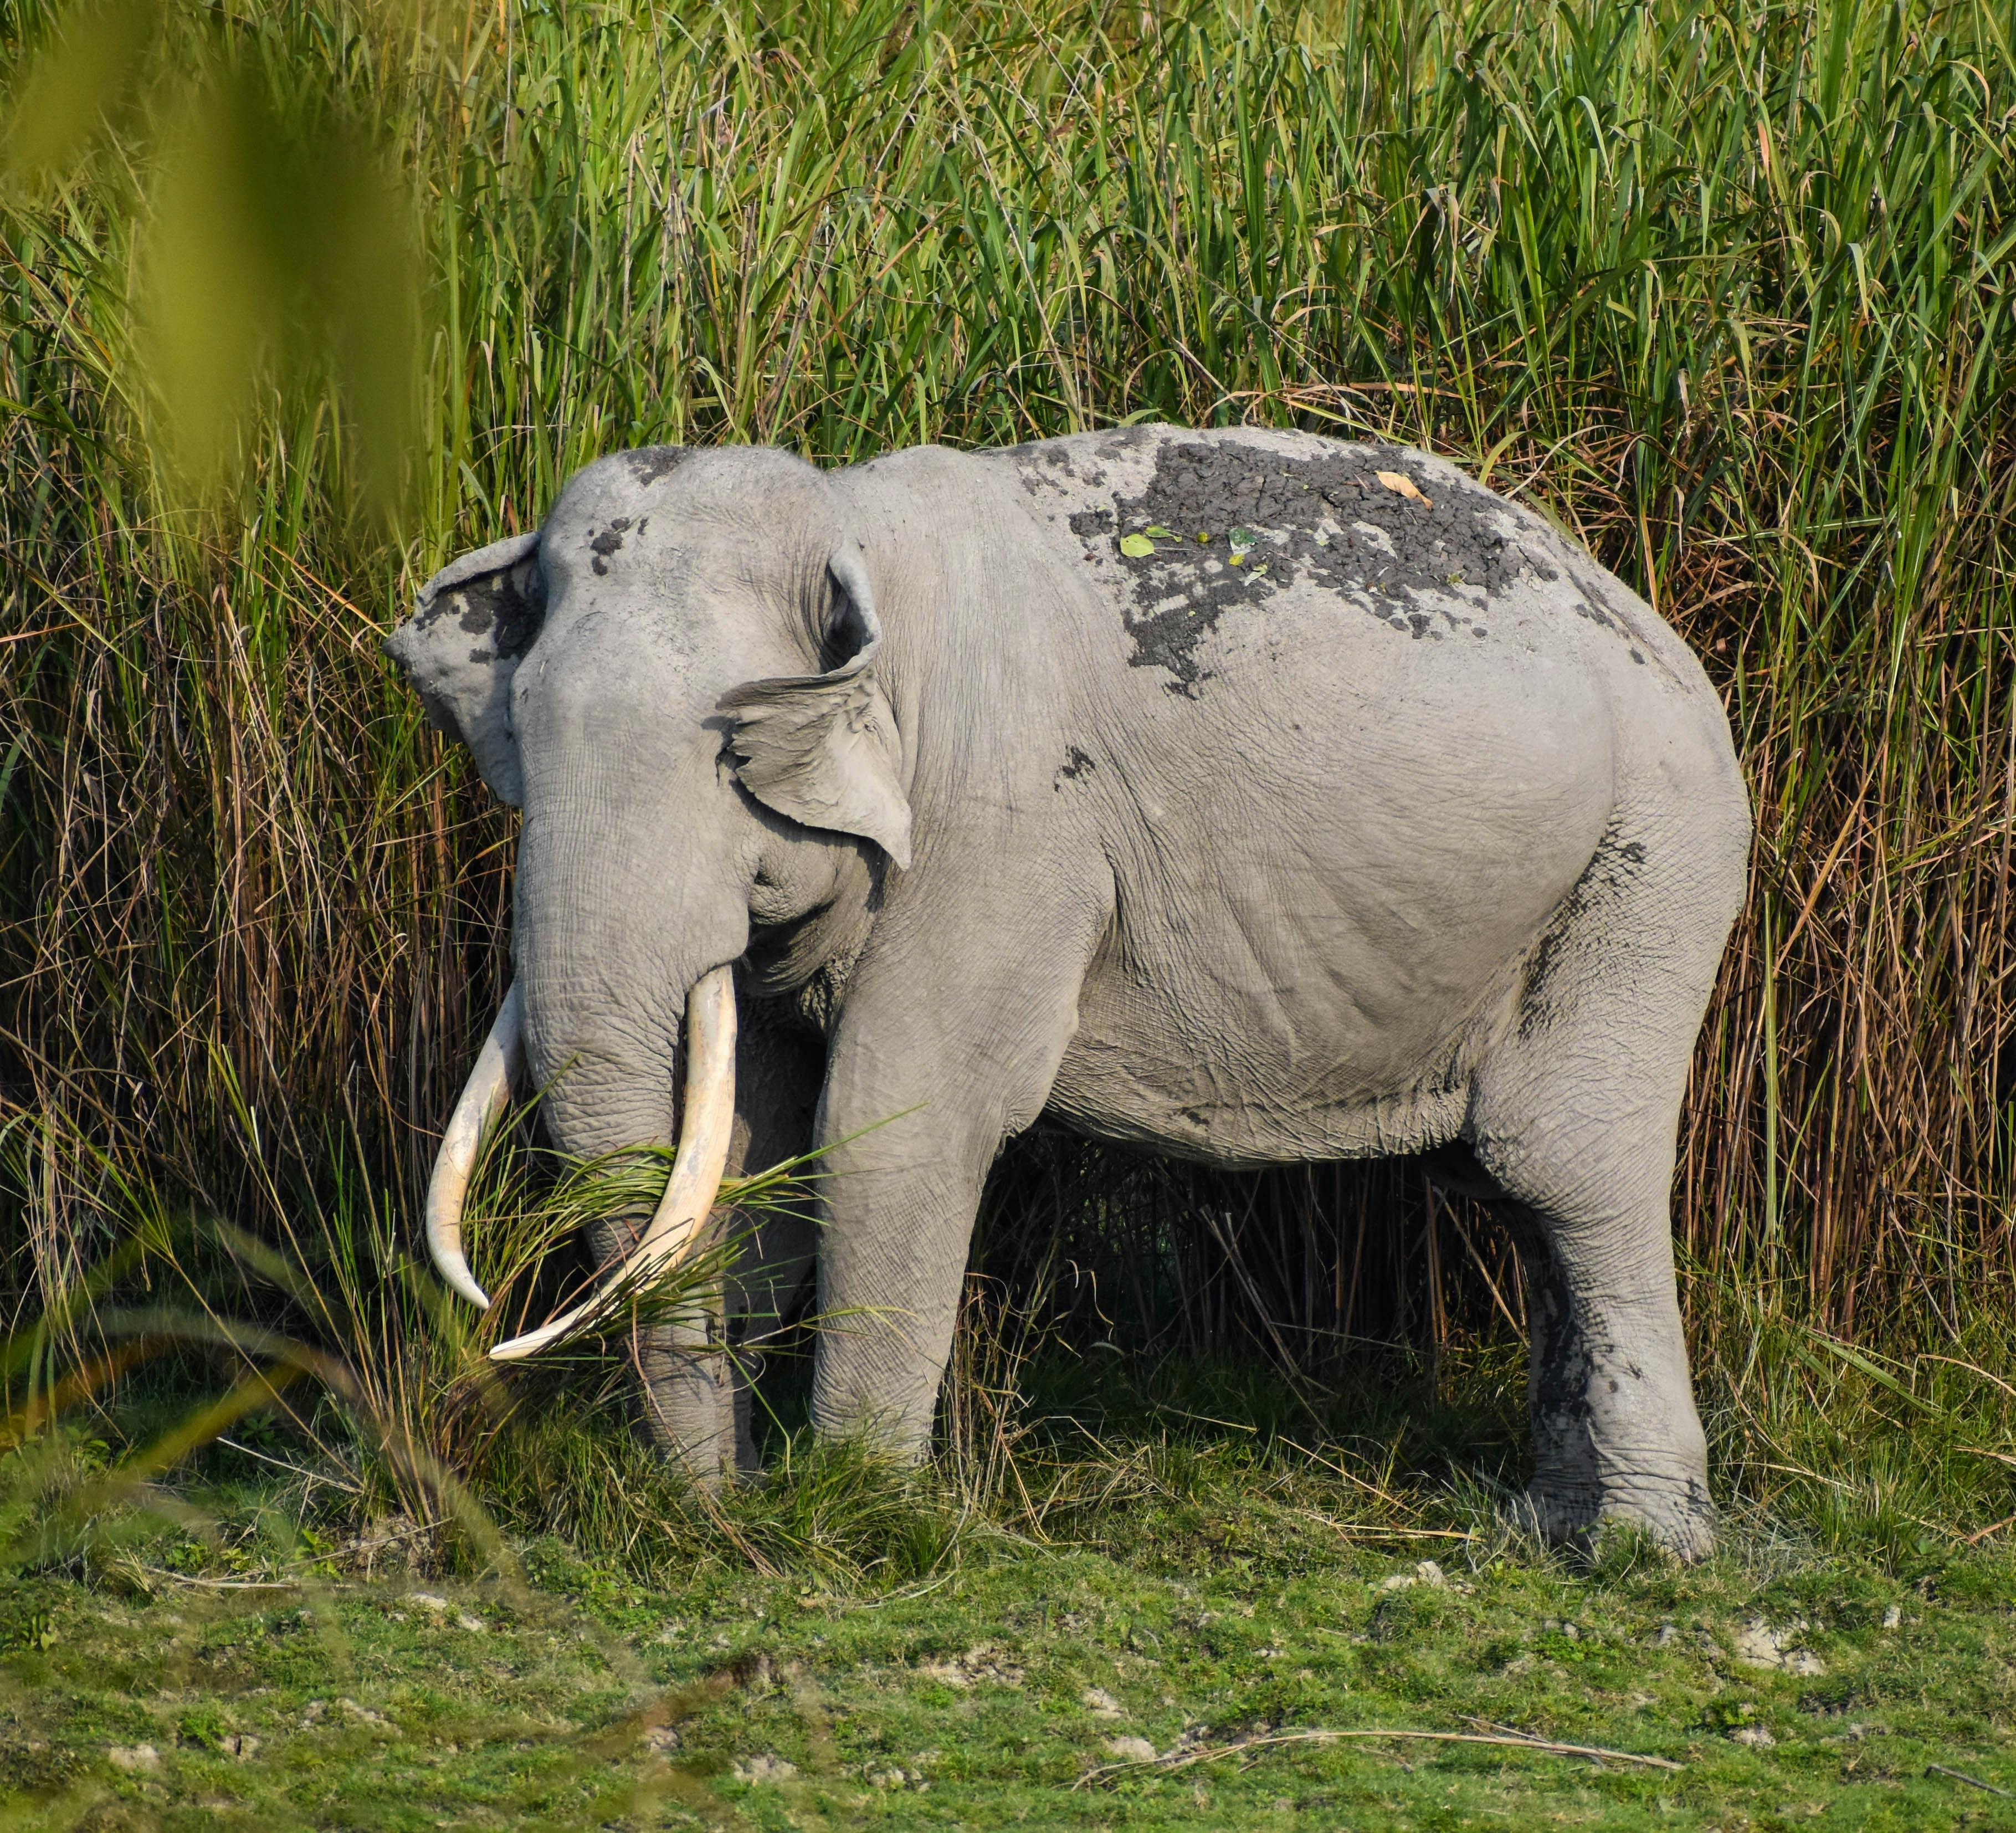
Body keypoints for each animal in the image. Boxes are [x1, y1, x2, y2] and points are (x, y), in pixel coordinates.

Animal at [385, 423, 1750, 1556]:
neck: (847, 519)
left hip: (1651, 868)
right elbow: (754, 1142)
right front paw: (743, 1482)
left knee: (1558, 1163)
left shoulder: (1003, 829)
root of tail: (1650, 625)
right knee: (1512, 1187)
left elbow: (891, 1122)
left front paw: (855, 1511)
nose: (707, 1513)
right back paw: (1546, 1522)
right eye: (519, 735)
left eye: (731, 756)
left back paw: (1639, 1549)